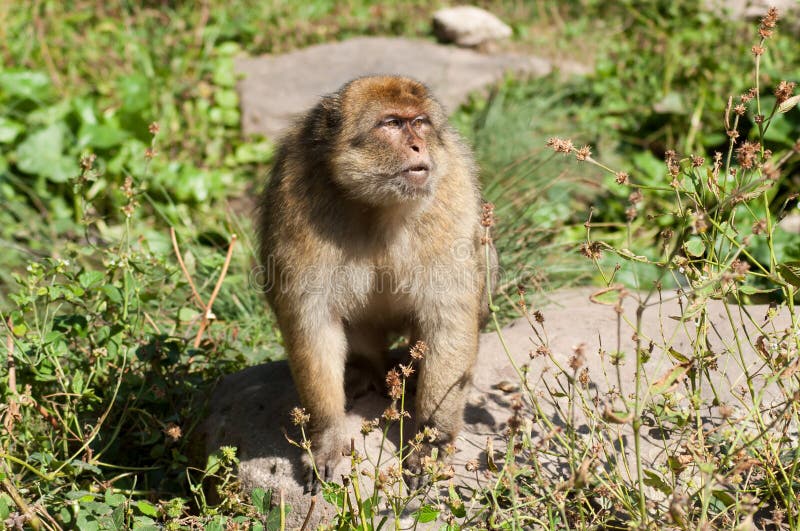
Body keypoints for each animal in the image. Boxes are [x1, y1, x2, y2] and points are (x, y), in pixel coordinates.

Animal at [256, 75, 497, 491]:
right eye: (392, 124)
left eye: (420, 122)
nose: (418, 145)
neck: (376, 205)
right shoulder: (296, 195)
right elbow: (313, 321)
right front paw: (327, 436)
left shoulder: (452, 189)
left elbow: (448, 318)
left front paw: (430, 440)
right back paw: (365, 369)